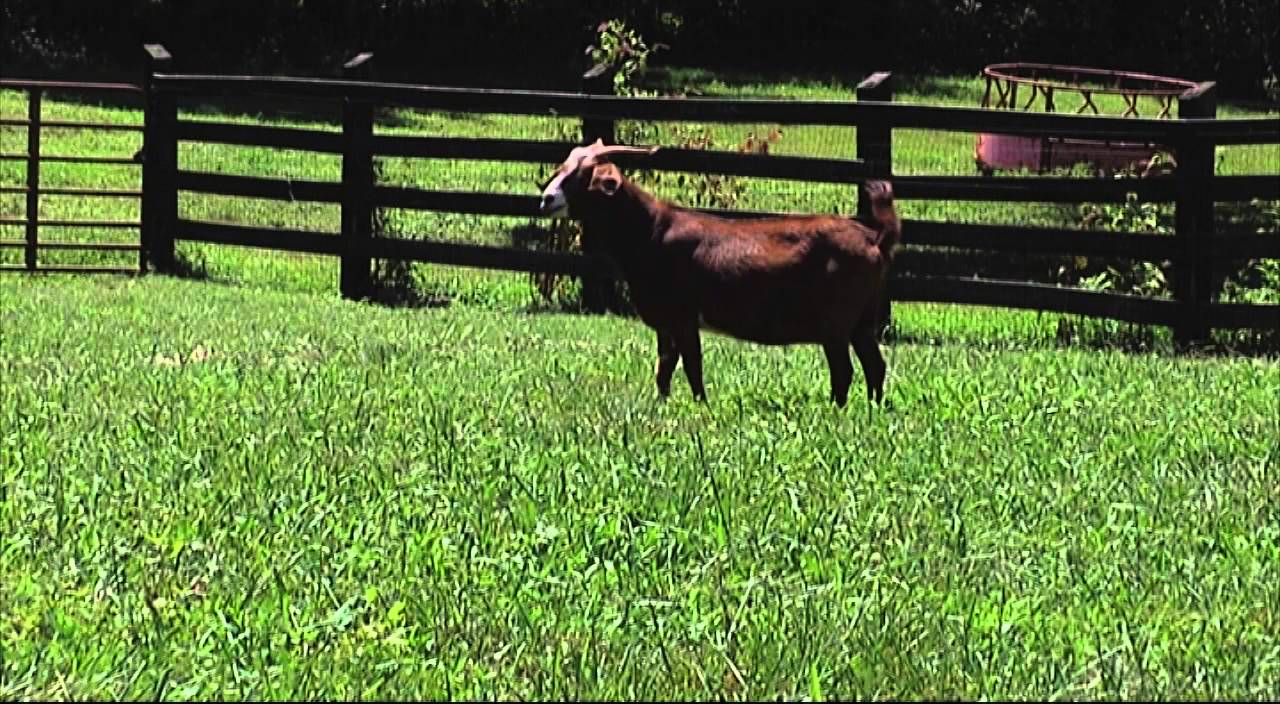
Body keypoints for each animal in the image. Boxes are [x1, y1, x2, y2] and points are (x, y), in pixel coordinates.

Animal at [539, 140, 901, 406]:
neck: (653, 230)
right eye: (562, 169)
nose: (546, 199)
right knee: (875, 366)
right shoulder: (666, 322)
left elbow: (692, 365)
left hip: (835, 322)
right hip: (862, 321)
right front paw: (661, 403)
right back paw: (873, 406)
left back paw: (836, 409)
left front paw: (701, 405)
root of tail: (874, 238)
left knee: (845, 370)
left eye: (582, 177)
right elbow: (664, 366)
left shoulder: (684, 316)